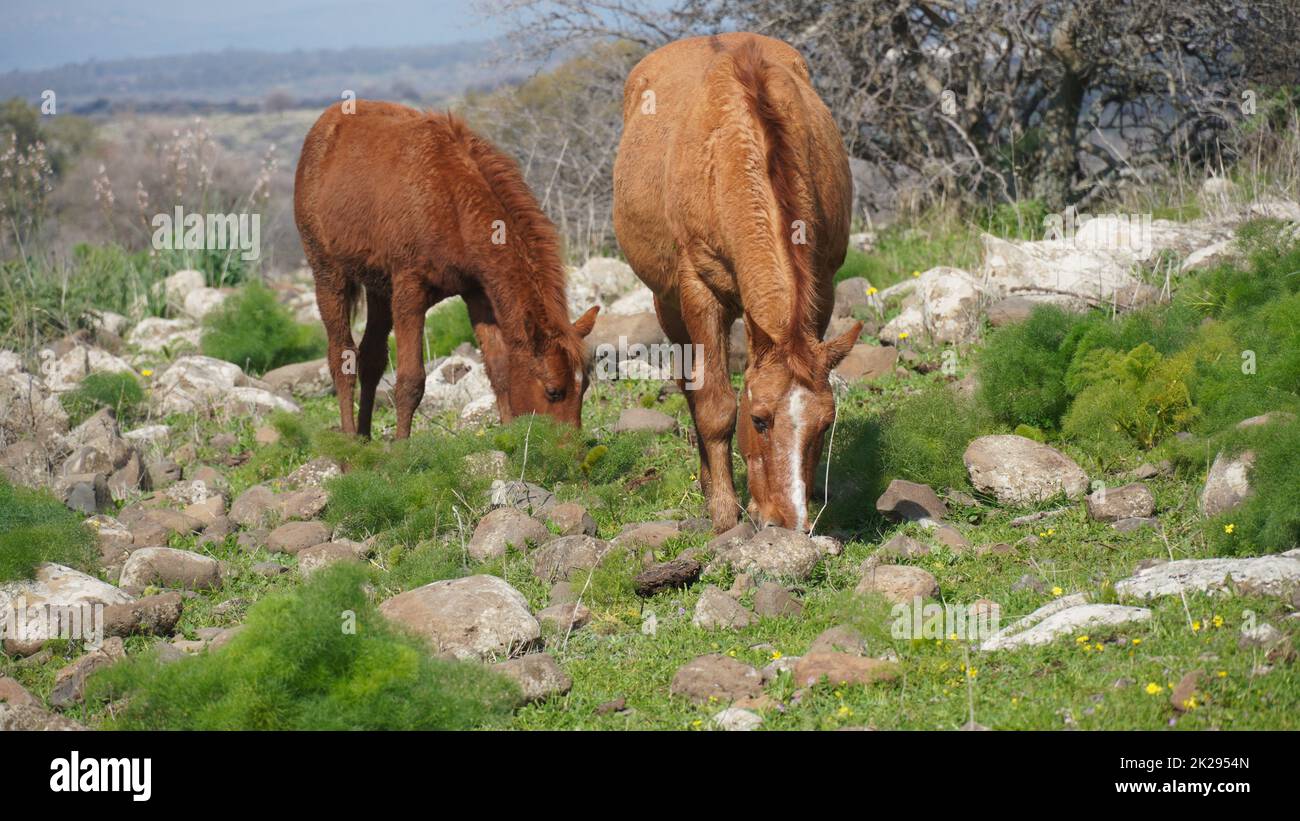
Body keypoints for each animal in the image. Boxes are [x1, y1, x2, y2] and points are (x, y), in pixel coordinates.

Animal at [294, 100, 599, 439]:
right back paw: (349, 443)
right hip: (328, 274)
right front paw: (401, 448)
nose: (571, 448)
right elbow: (410, 381)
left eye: (584, 387)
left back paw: (363, 438)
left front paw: (509, 438)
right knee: (341, 357)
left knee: (371, 358)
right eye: (553, 392)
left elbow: (499, 370)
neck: (453, 201)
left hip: (378, 288)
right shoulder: (410, 292)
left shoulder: (480, 293)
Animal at [613, 34, 861, 533]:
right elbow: (714, 406)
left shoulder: (821, 289)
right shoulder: (698, 292)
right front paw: (725, 513)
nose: (789, 521)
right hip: (667, 304)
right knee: (690, 385)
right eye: (760, 419)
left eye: (824, 425)